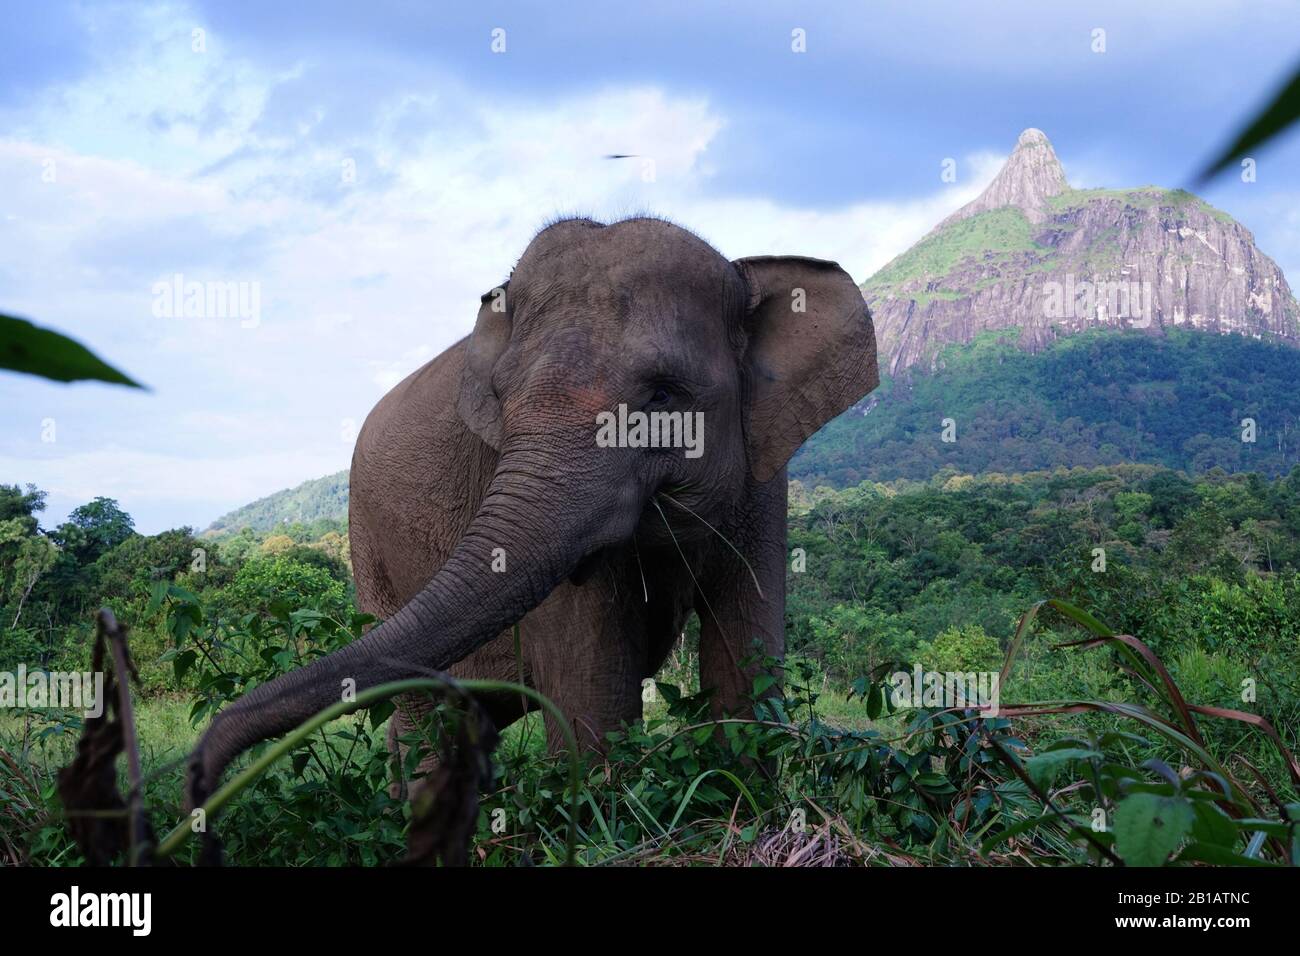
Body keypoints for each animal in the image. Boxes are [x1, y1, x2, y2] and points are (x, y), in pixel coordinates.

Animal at [185, 215, 878, 809]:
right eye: (500, 394)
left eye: (663, 396)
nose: (199, 787)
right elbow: (591, 680)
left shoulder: (764, 473)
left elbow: (748, 651)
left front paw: (740, 804)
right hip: (370, 555)